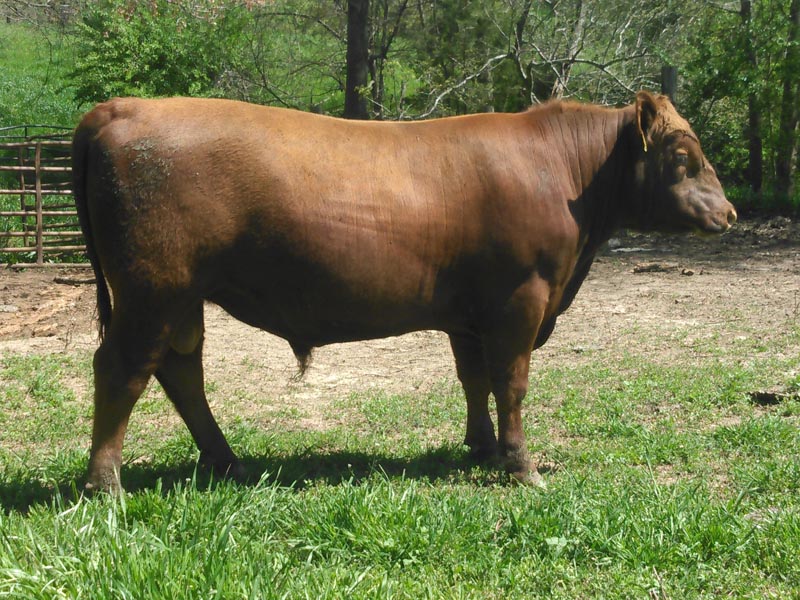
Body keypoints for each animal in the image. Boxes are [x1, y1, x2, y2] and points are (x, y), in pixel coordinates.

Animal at [72, 91, 736, 492]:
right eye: (684, 156)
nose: (729, 213)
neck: (565, 176)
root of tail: (119, 109)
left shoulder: (470, 314)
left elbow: (474, 379)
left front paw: (482, 449)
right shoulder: (520, 300)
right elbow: (511, 383)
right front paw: (521, 467)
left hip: (181, 299)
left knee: (180, 372)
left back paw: (228, 461)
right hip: (153, 291)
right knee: (123, 370)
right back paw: (106, 484)